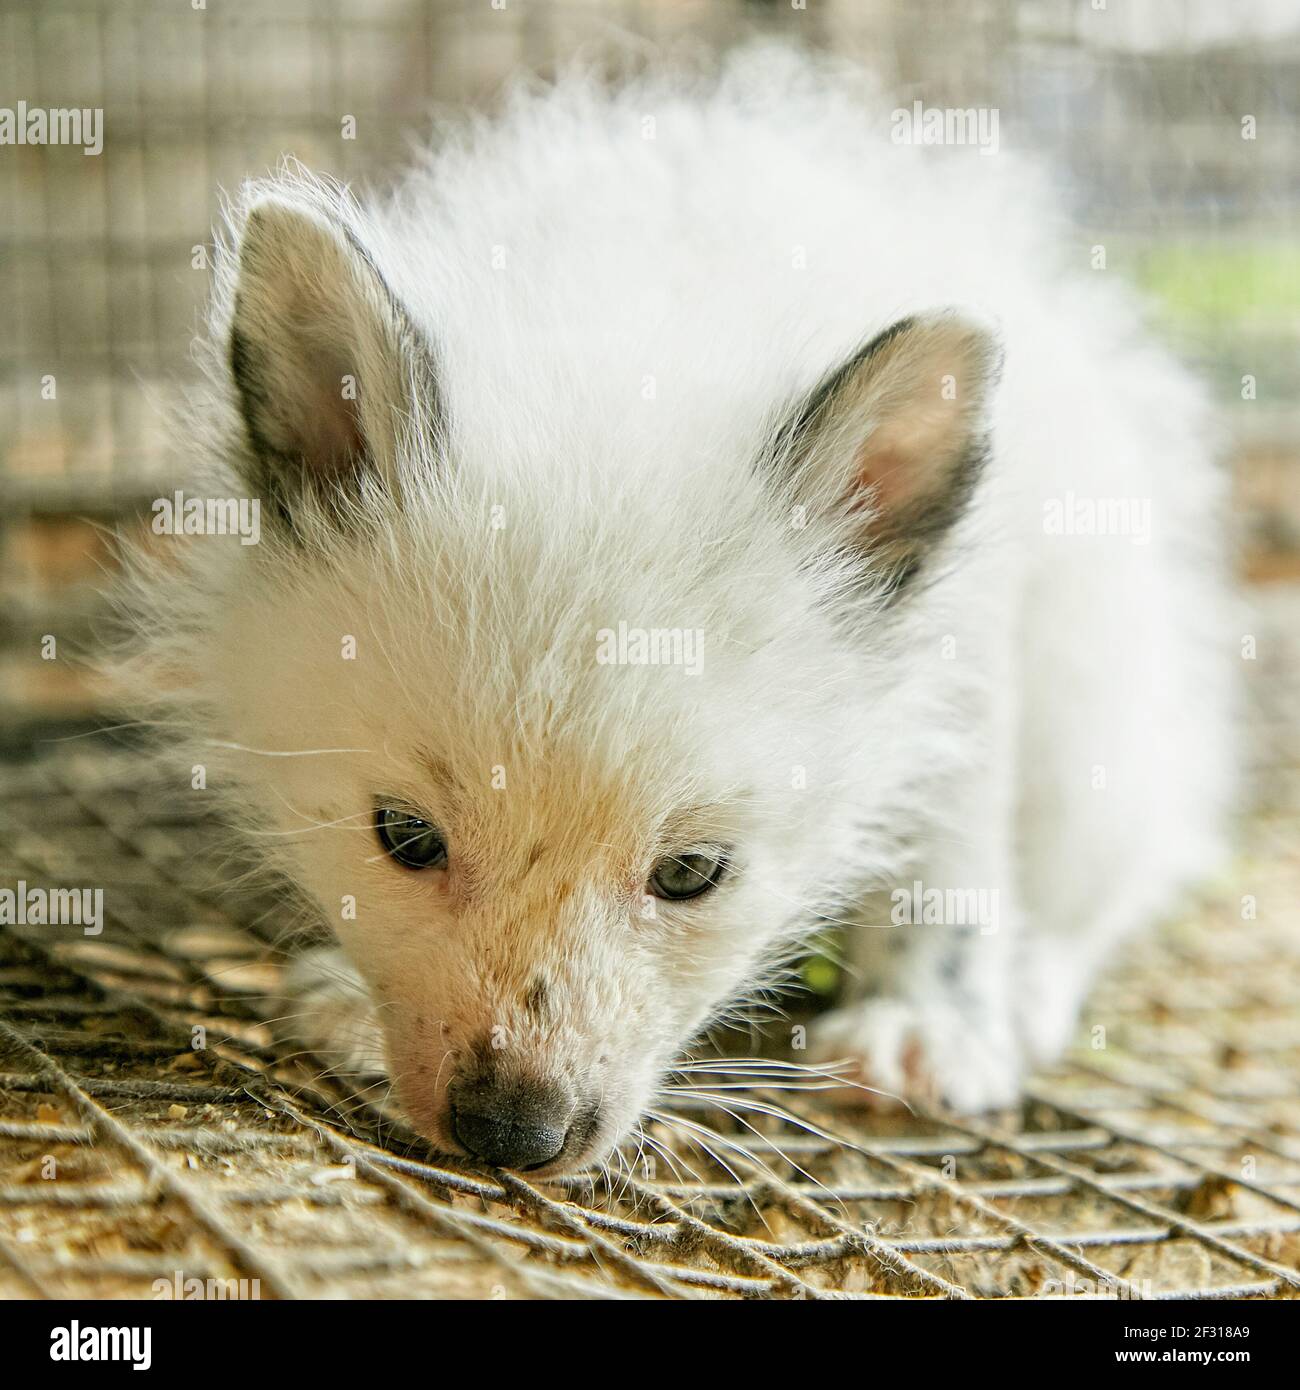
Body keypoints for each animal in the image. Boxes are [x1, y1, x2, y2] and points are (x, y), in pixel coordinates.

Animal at [121, 48, 1234, 1175]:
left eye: (693, 873)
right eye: (405, 836)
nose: (513, 1133)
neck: (642, 318)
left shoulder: (964, 646)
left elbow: (950, 854)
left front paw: (927, 1022)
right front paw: (351, 990)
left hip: (1101, 693)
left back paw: (1029, 985)